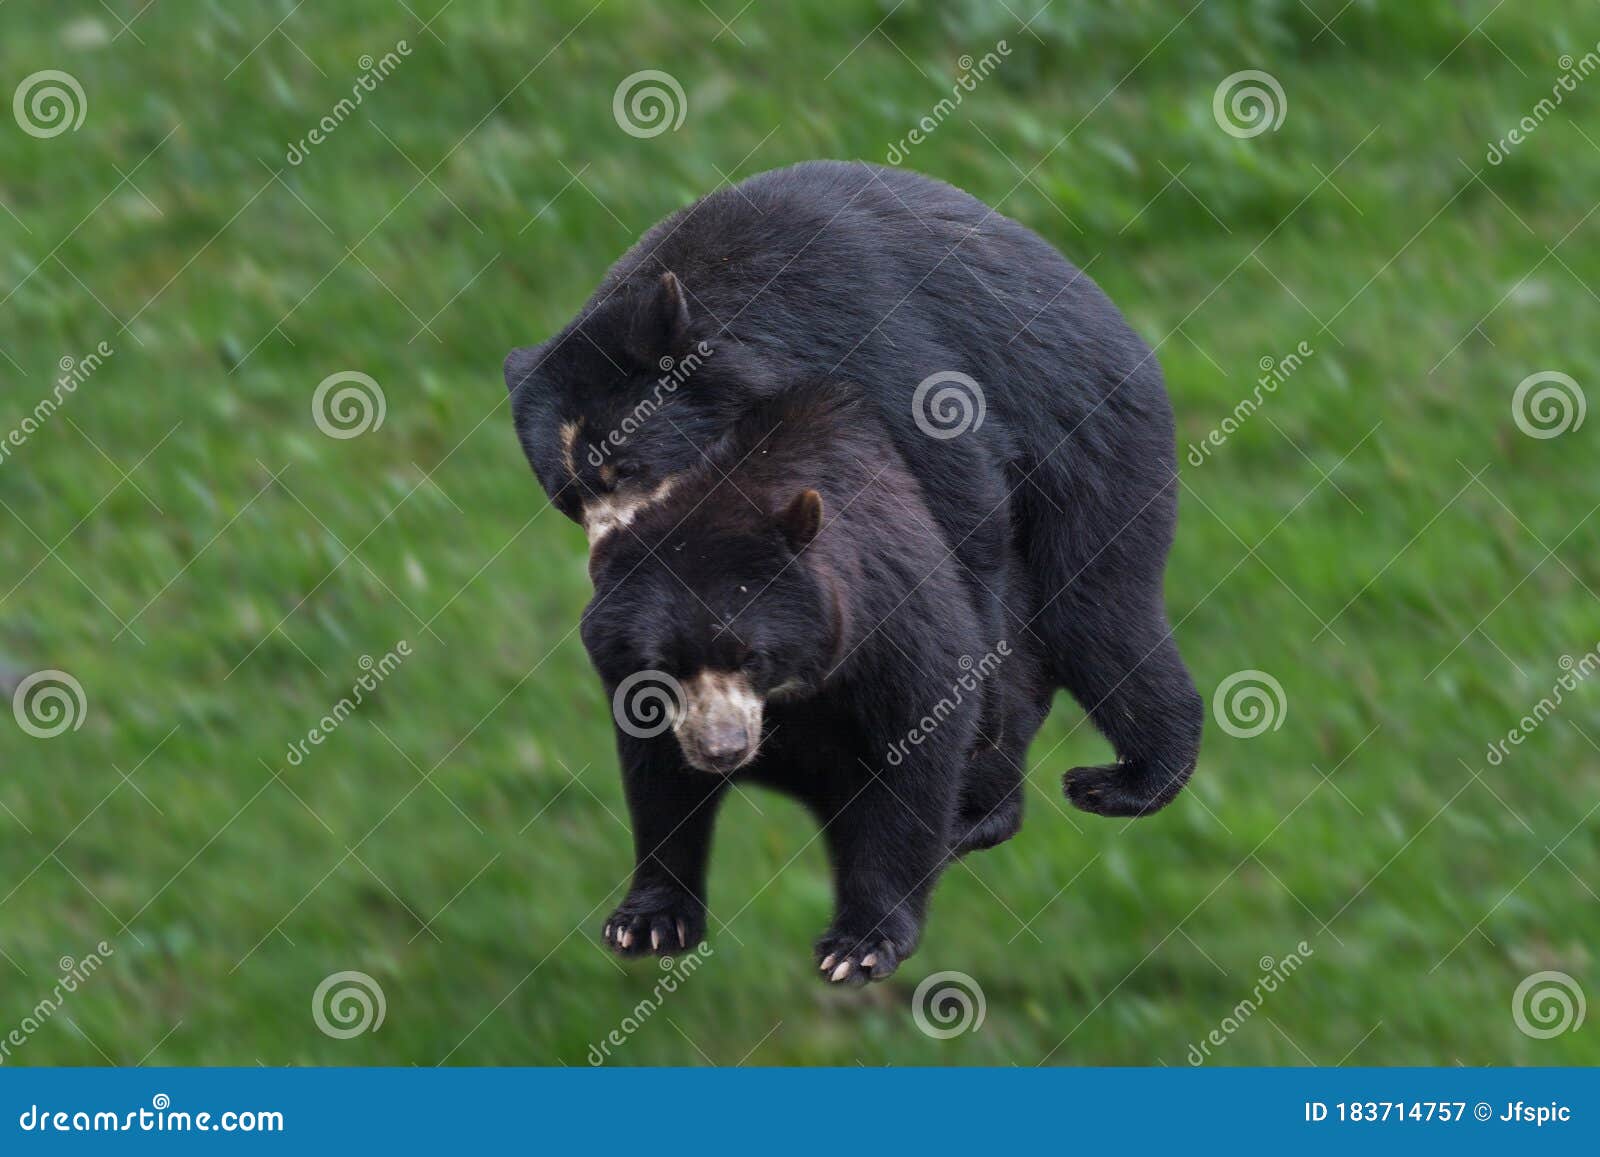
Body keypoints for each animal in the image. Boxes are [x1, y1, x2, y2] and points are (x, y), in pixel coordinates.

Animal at [506, 159, 1203, 818]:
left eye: (623, 467)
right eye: (567, 502)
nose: (609, 564)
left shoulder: (873, 344)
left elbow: (964, 505)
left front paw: (966, 710)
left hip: (1095, 438)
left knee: (1094, 604)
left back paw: (1124, 780)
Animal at [579, 385, 1050, 982]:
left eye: (751, 656)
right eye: (661, 667)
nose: (723, 751)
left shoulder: (897, 620)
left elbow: (915, 759)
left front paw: (859, 946)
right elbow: (660, 780)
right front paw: (646, 922)